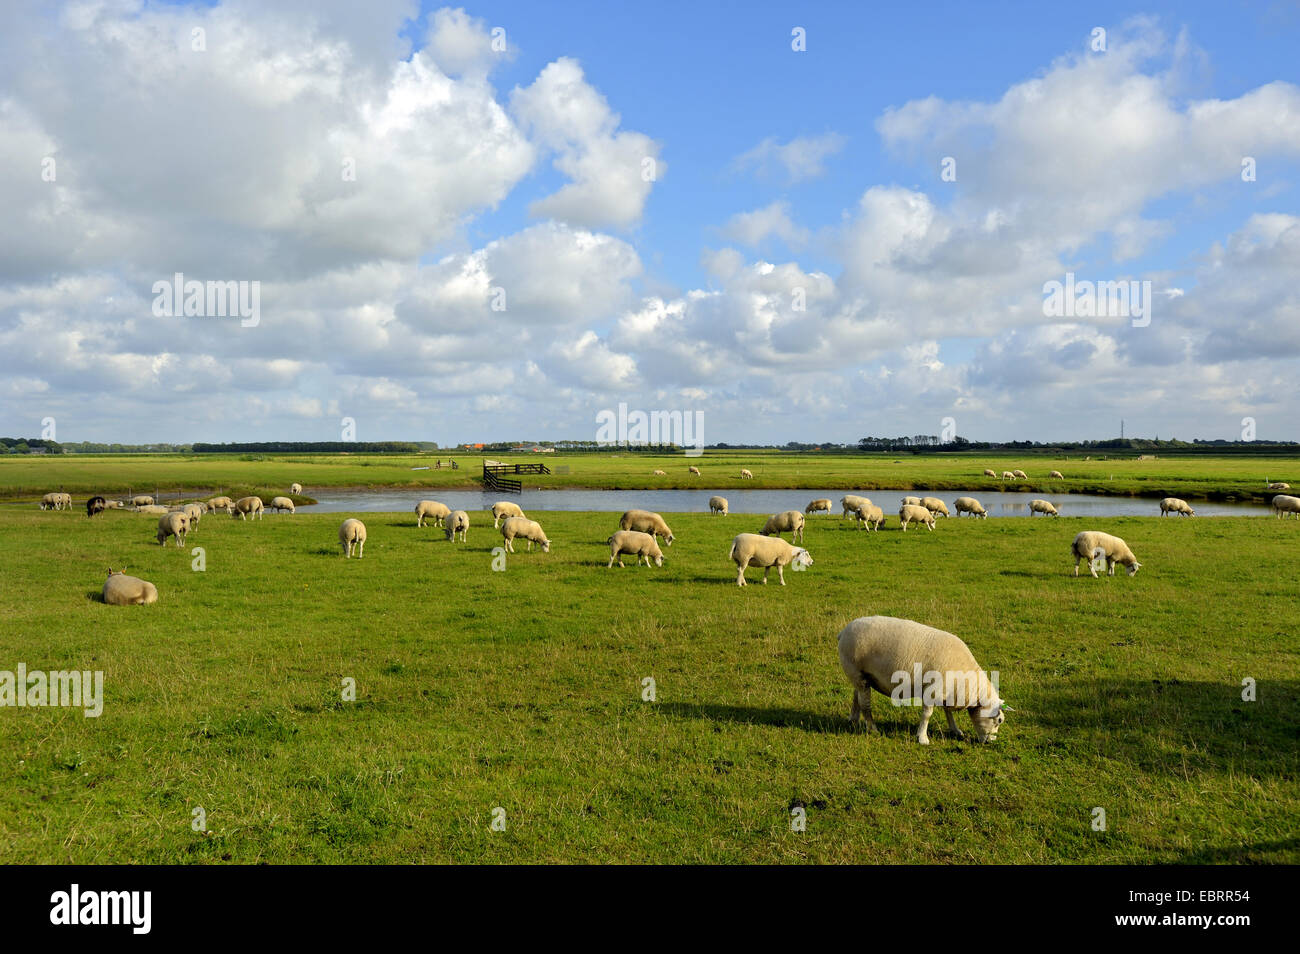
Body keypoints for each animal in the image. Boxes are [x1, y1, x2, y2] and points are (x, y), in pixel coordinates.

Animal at [837, 616, 1006, 744]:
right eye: (999, 720)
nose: (991, 742)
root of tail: (843, 631)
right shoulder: (933, 690)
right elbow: (927, 715)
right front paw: (922, 738)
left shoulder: (946, 691)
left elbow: (947, 712)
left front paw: (955, 730)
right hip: (856, 670)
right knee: (865, 705)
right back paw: (873, 728)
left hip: (861, 676)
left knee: (856, 696)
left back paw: (853, 719)